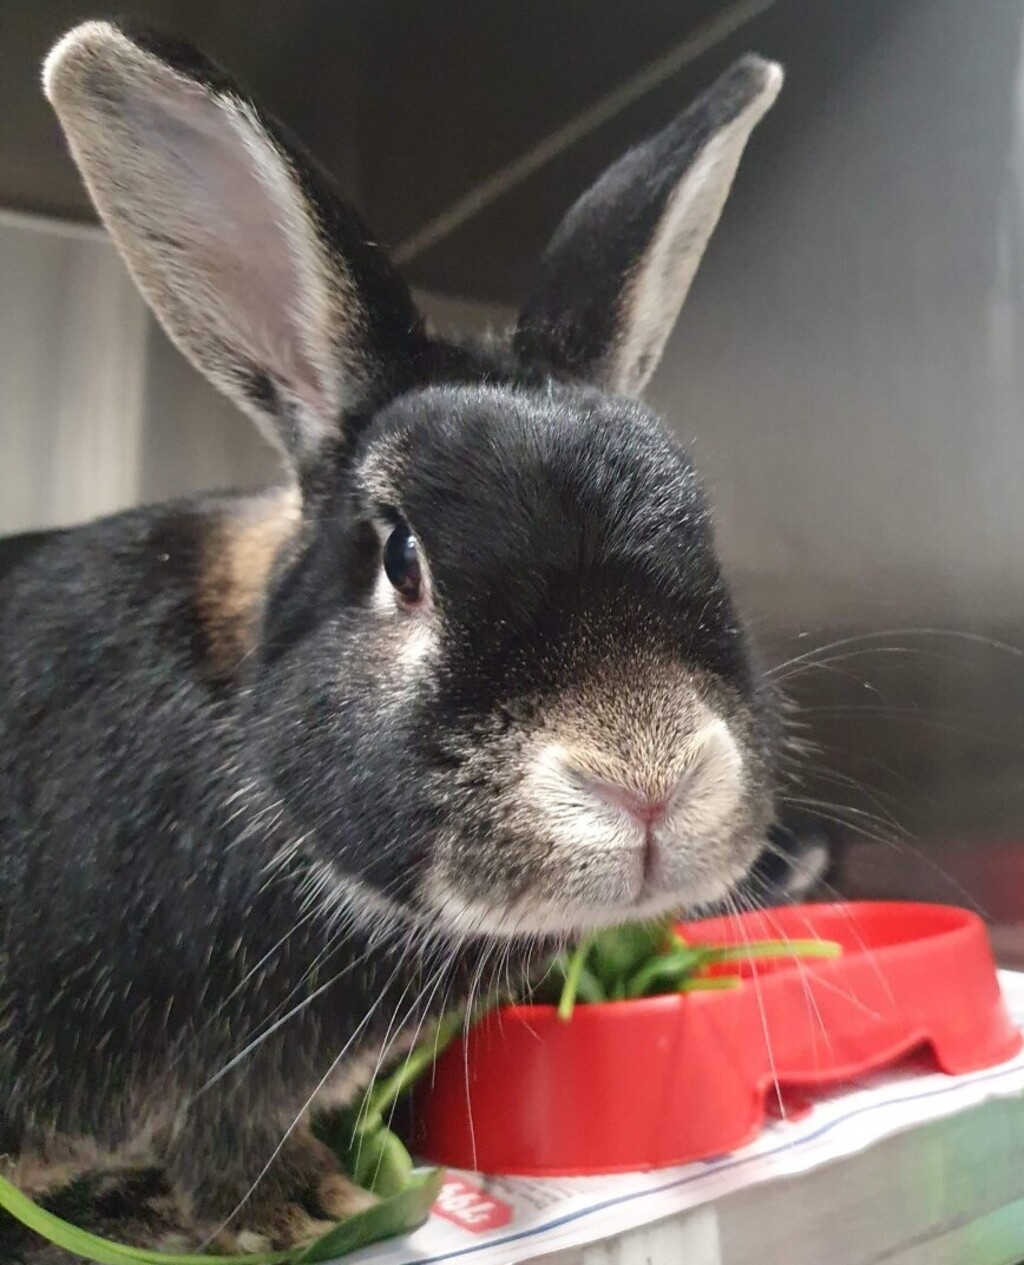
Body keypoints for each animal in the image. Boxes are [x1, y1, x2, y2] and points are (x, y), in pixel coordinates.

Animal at [0, 19, 784, 1259]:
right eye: (399, 557)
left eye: (700, 519)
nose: (649, 780)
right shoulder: (214, 1075)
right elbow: (219, 1148)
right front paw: (289, 1211)